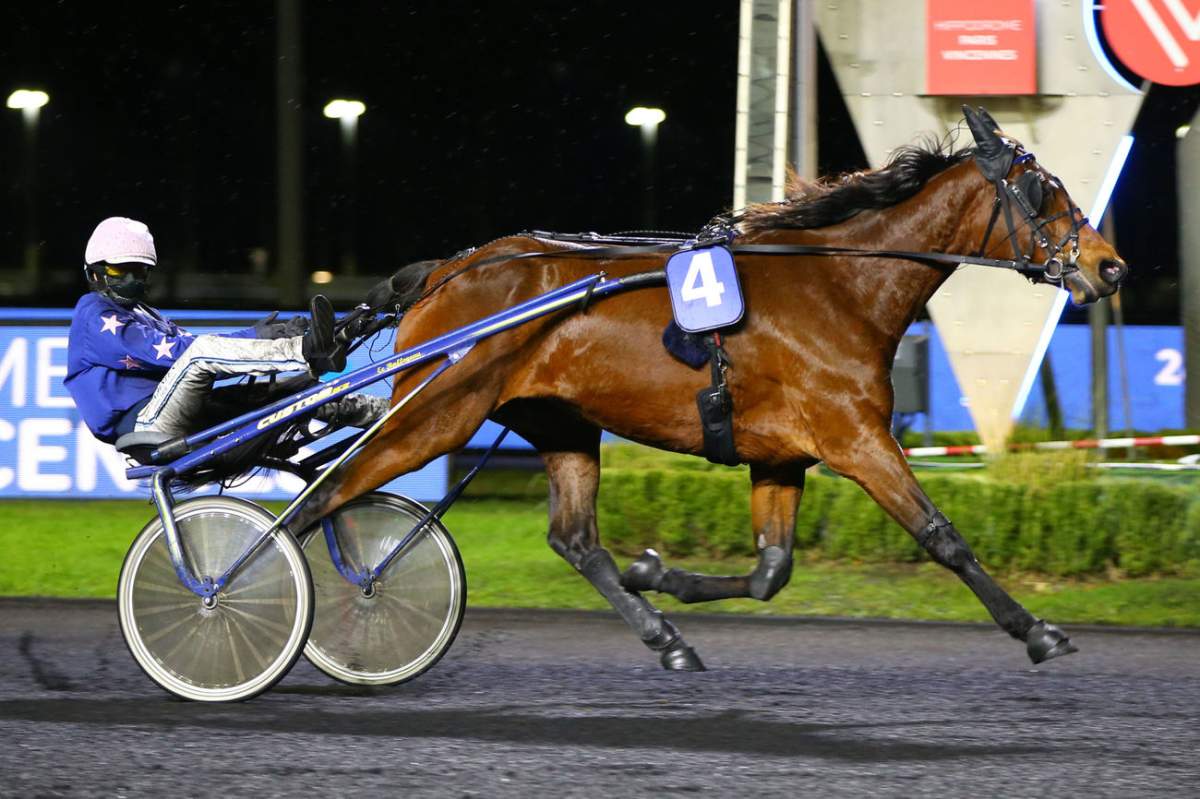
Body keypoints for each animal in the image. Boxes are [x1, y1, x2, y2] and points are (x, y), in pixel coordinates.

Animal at [289, 107, 1127, 671]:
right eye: (1044, 192)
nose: (1110, 266)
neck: (841, 283)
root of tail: (448, 269)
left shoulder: (784, 456)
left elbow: (770, 570)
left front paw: (657, 572)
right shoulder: (857, 439)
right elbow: (942, 535)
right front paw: (1038, 630)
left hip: (560, 424)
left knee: (575, 539)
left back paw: (667, 638)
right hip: (436, 414)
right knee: (325, 495)